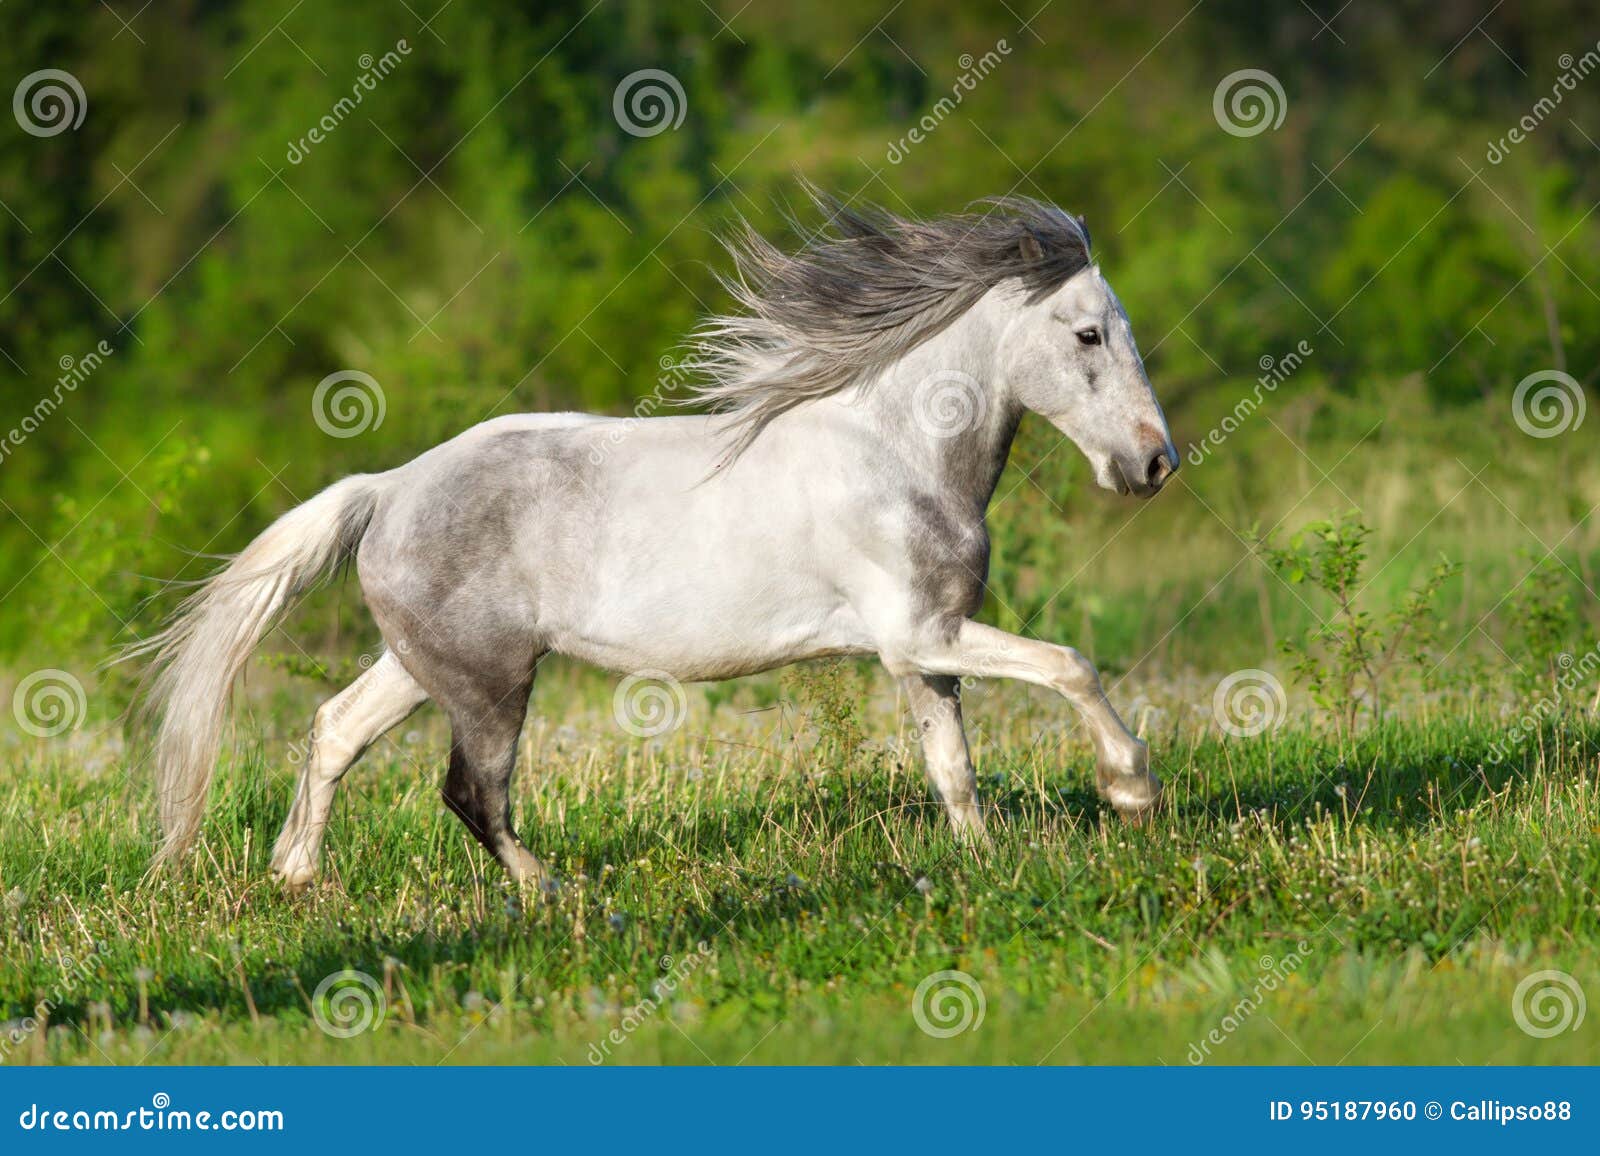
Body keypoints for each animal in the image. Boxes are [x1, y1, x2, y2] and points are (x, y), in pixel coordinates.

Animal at [134, 192, 1178, 890]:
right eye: (1089, 334)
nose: (1155, 463)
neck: (895, 453)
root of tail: (386, 490)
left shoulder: (919, 650)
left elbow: (953, 768)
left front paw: (986, 863)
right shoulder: (924, 633)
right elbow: (1071, 664)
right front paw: (1132, 793)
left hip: (425, 664)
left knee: (335, 730)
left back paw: (295, 877)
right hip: (491, 682)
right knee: (472, 792)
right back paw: (554, 893)